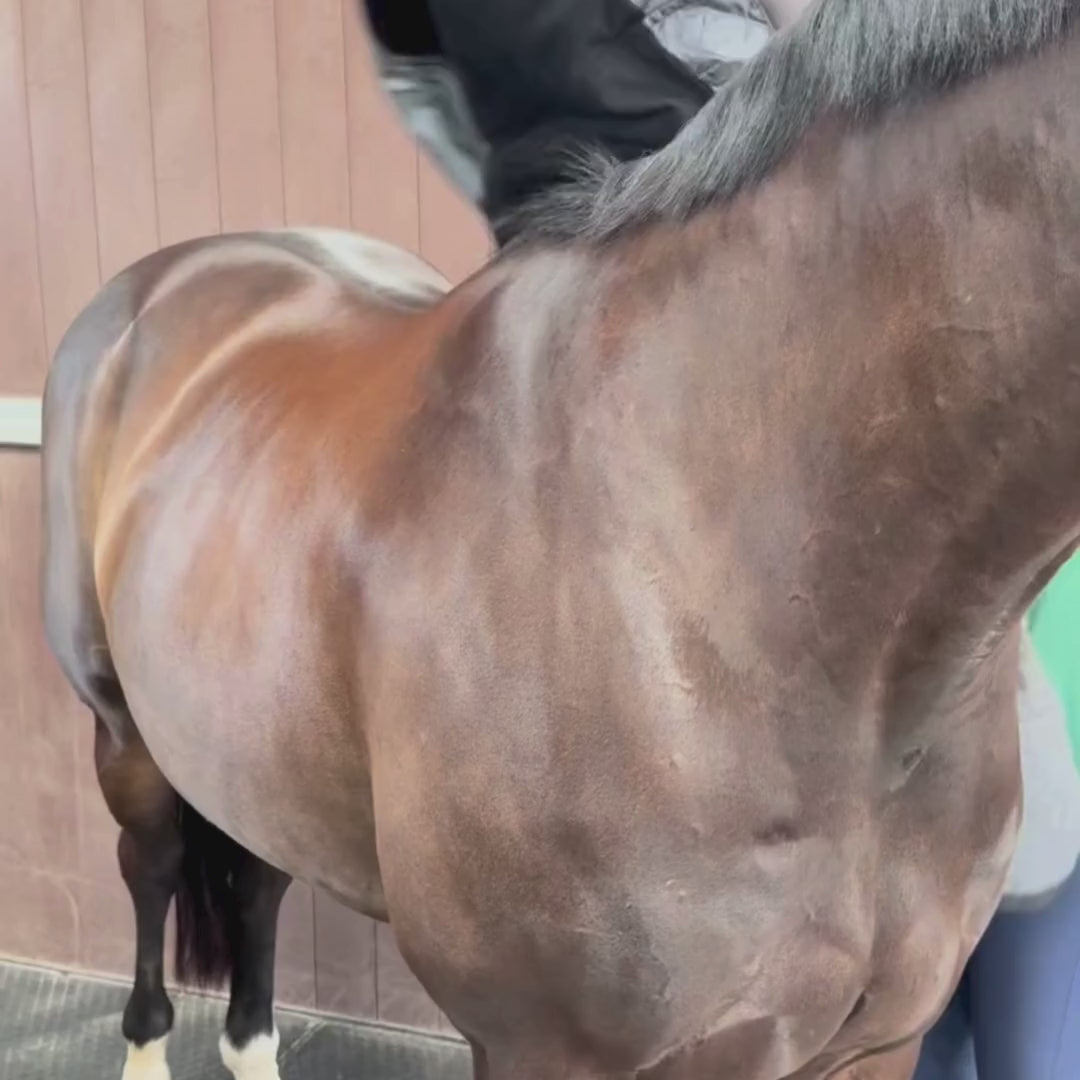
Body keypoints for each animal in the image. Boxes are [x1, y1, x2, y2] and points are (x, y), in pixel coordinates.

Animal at [39, 0, 1079, 1077]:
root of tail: (161, 284)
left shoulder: (878, 1045)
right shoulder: (544, 1047)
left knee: (257, 883)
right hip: (124, 730)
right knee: (154, 869)